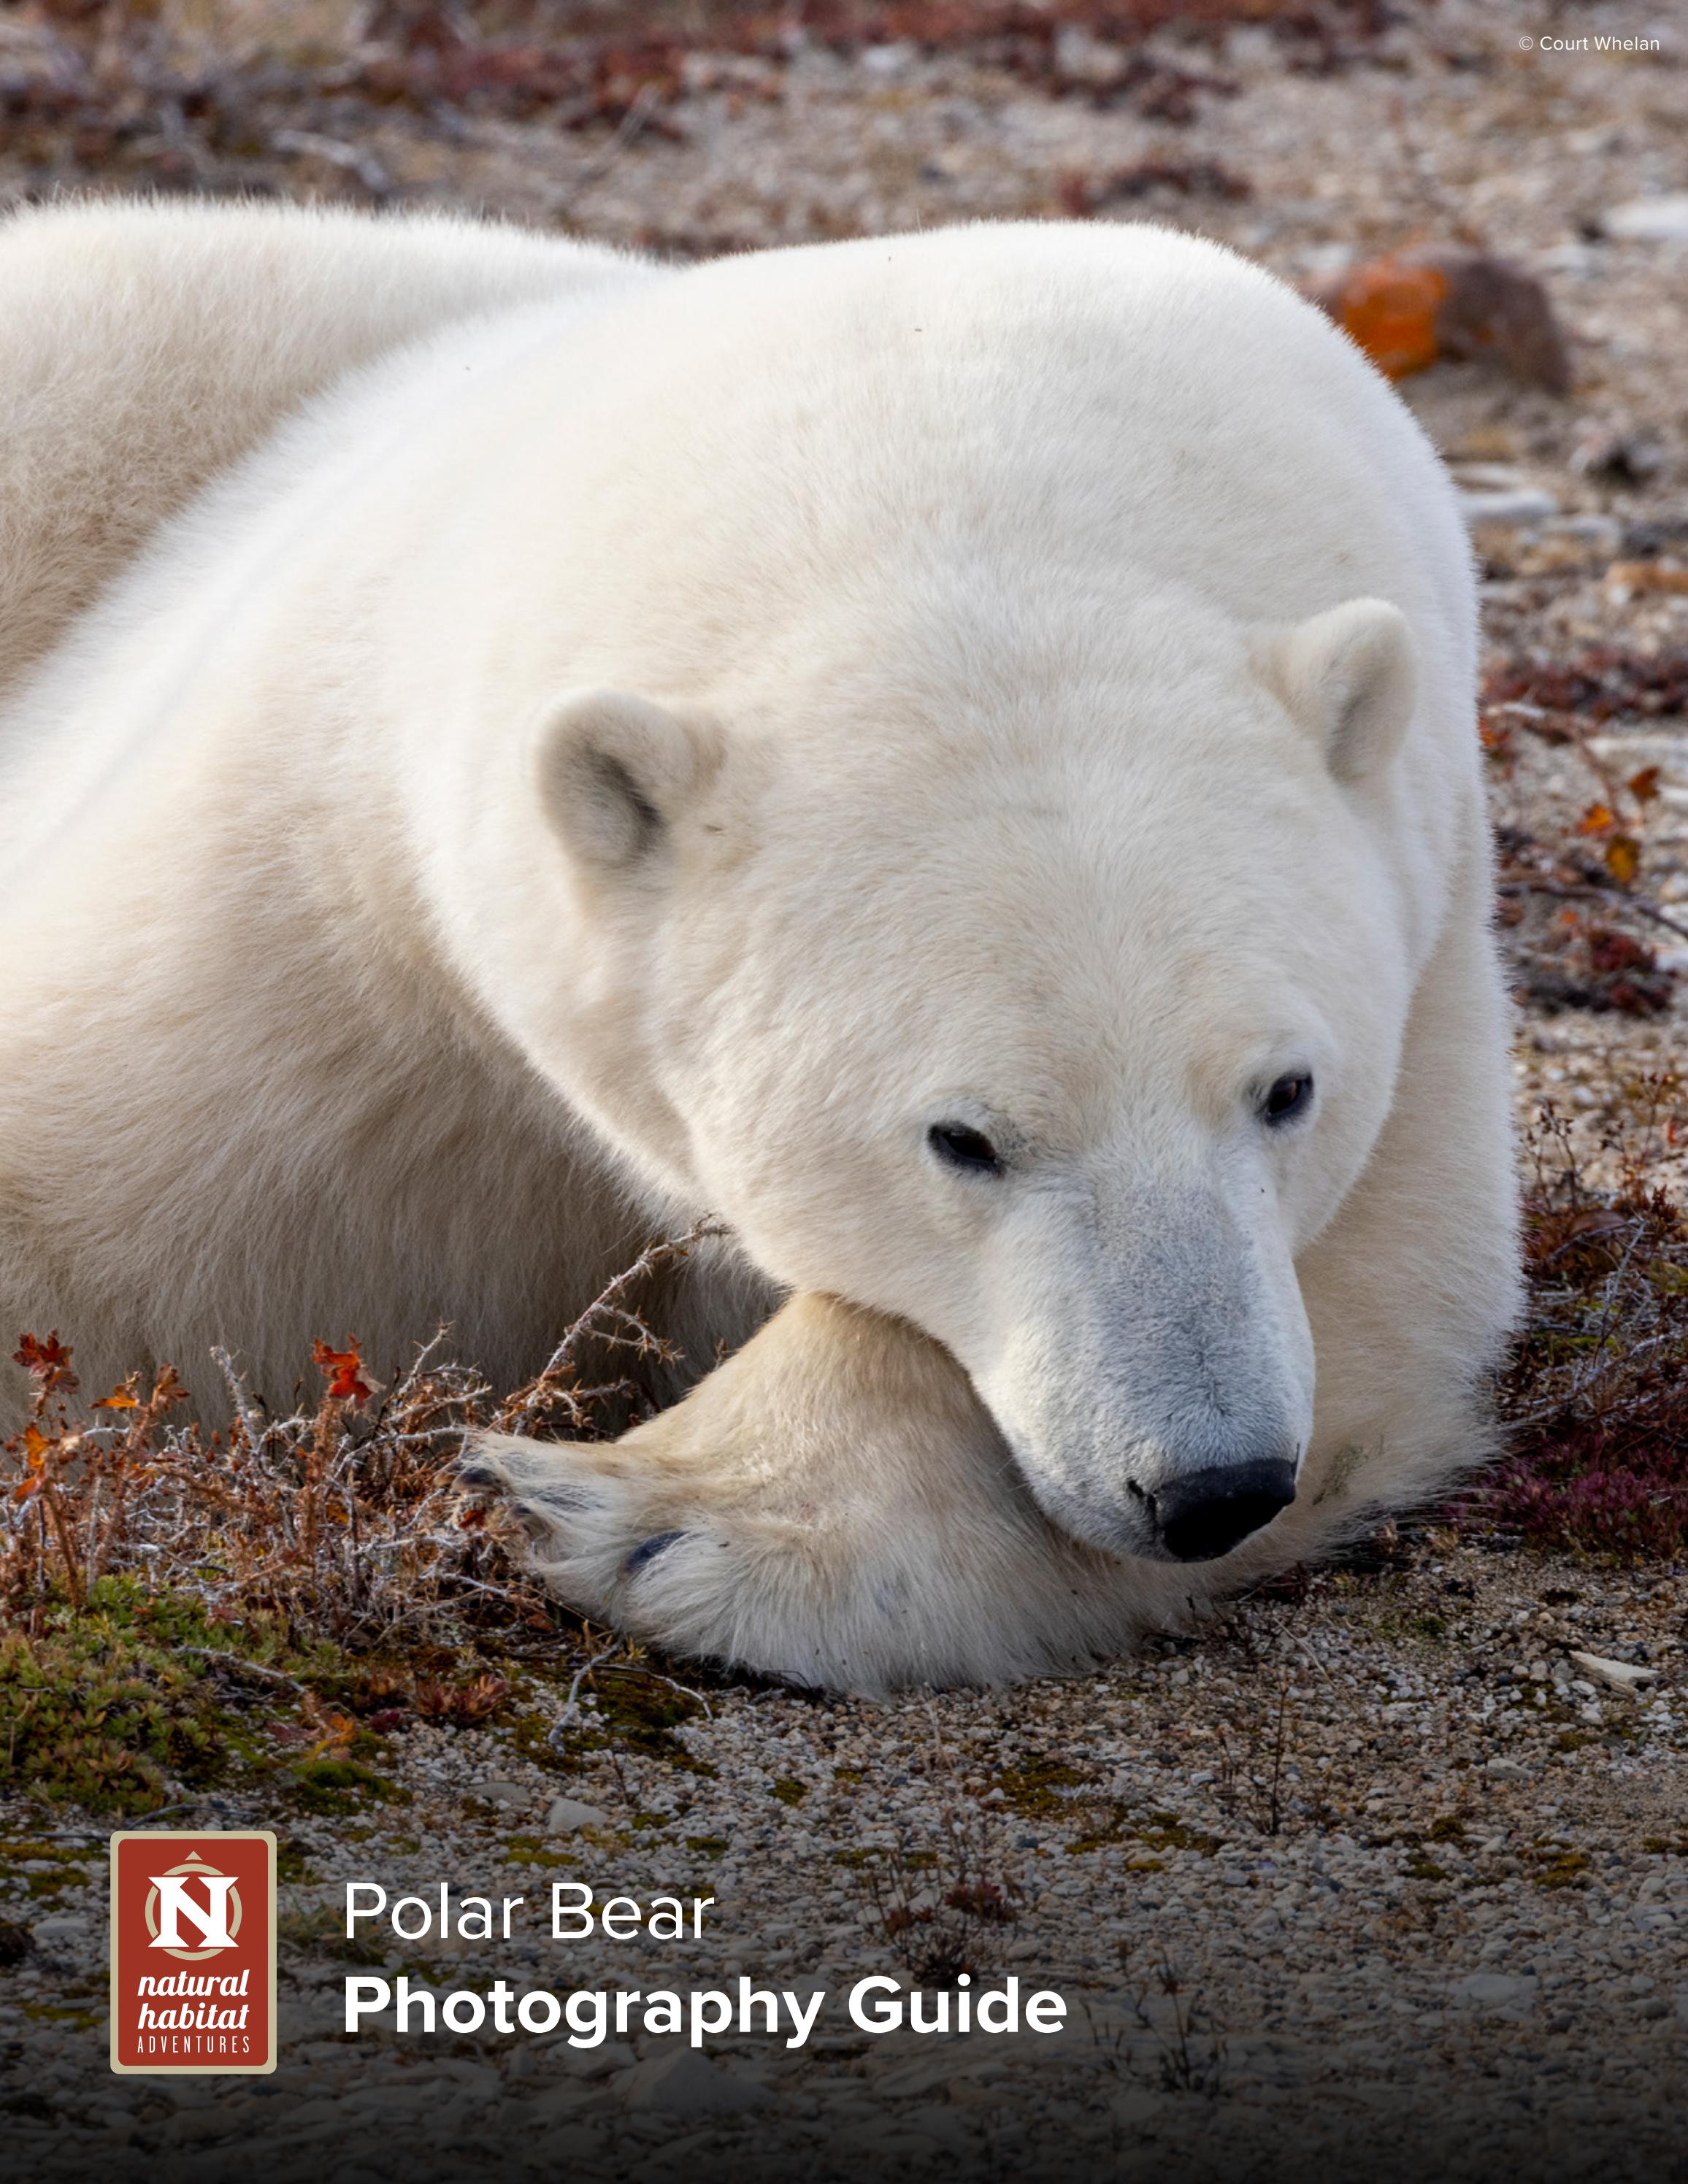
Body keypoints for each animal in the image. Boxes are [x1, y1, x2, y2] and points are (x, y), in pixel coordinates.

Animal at [0, 205, 1520, 1692]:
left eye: (1287, 1089)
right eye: (961, 1137)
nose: (1209, 1482)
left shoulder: (1427, 917)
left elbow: (1387, 1282)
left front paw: (631, 1508)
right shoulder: (318, 945)